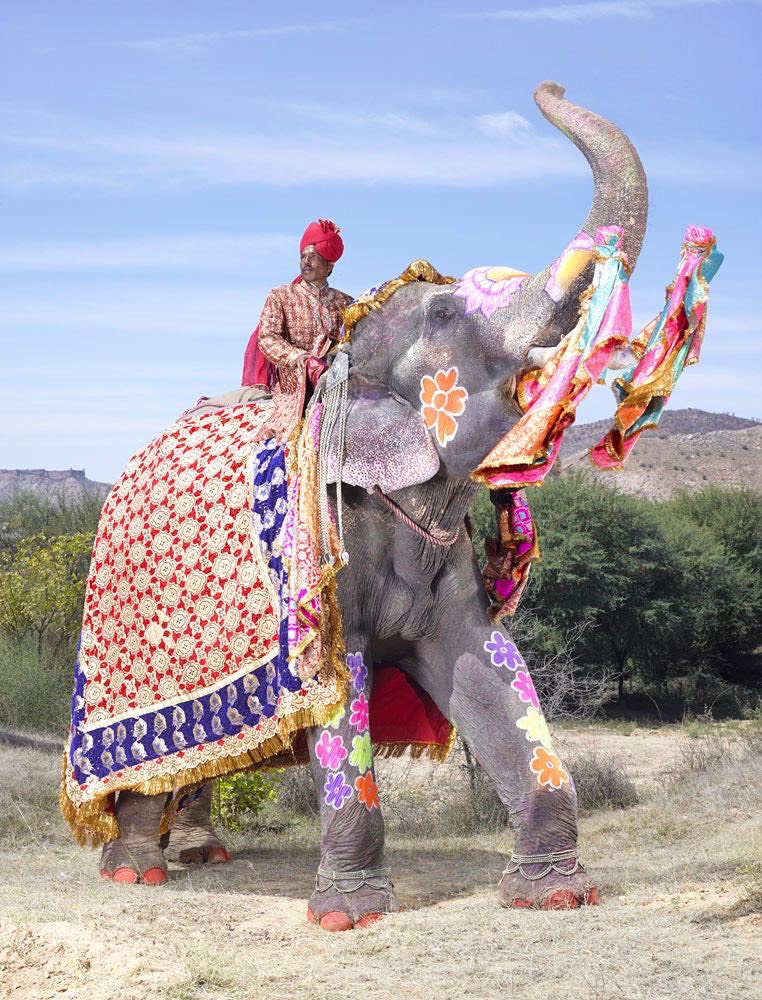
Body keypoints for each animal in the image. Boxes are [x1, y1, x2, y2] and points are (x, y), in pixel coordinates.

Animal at [62, 84, 652, 928]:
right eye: (443, 318)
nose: (556, 88)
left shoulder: (447, 560)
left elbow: (490, 669)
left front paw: (559, 896)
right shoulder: (326, 564)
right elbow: (340, 702)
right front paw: (349, 916)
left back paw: (205, 854)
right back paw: (136, 872)